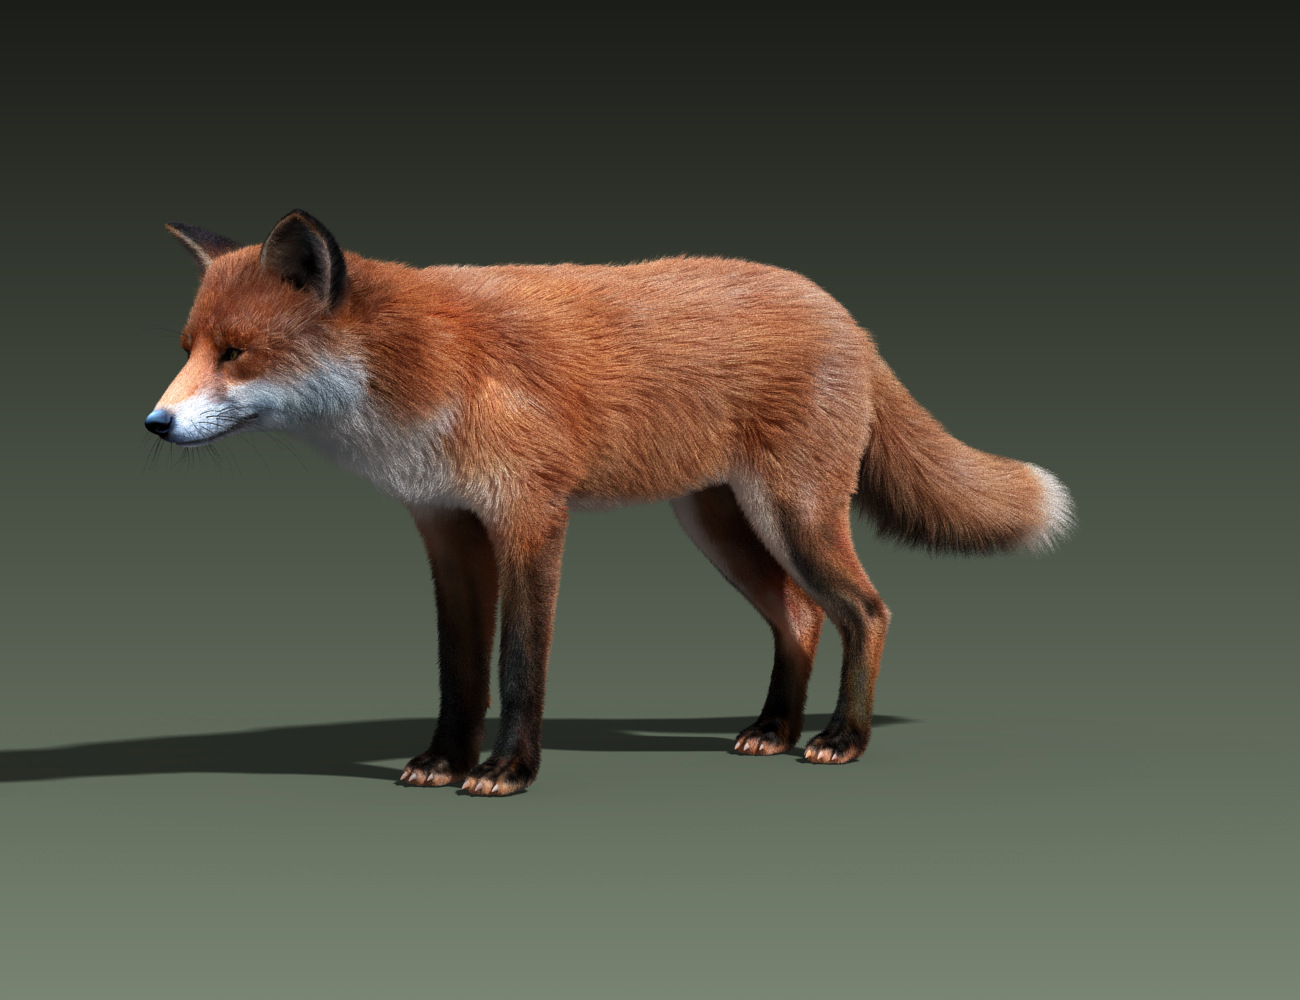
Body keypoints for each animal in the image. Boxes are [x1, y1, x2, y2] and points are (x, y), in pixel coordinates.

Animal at [146, 209, 1073, 796]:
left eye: (237, 353)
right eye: (188, 349)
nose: (154, 424)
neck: (419, 372)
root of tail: (847, 317)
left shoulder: (531, 516)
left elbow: (520, 664)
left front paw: (507, 771)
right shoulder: (447, 527)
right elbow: (458, 669)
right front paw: (443, 760)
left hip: (795, 516)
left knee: (867, 610)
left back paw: (843, 737)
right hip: (720, 525)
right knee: (802, 616)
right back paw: (773, 729)